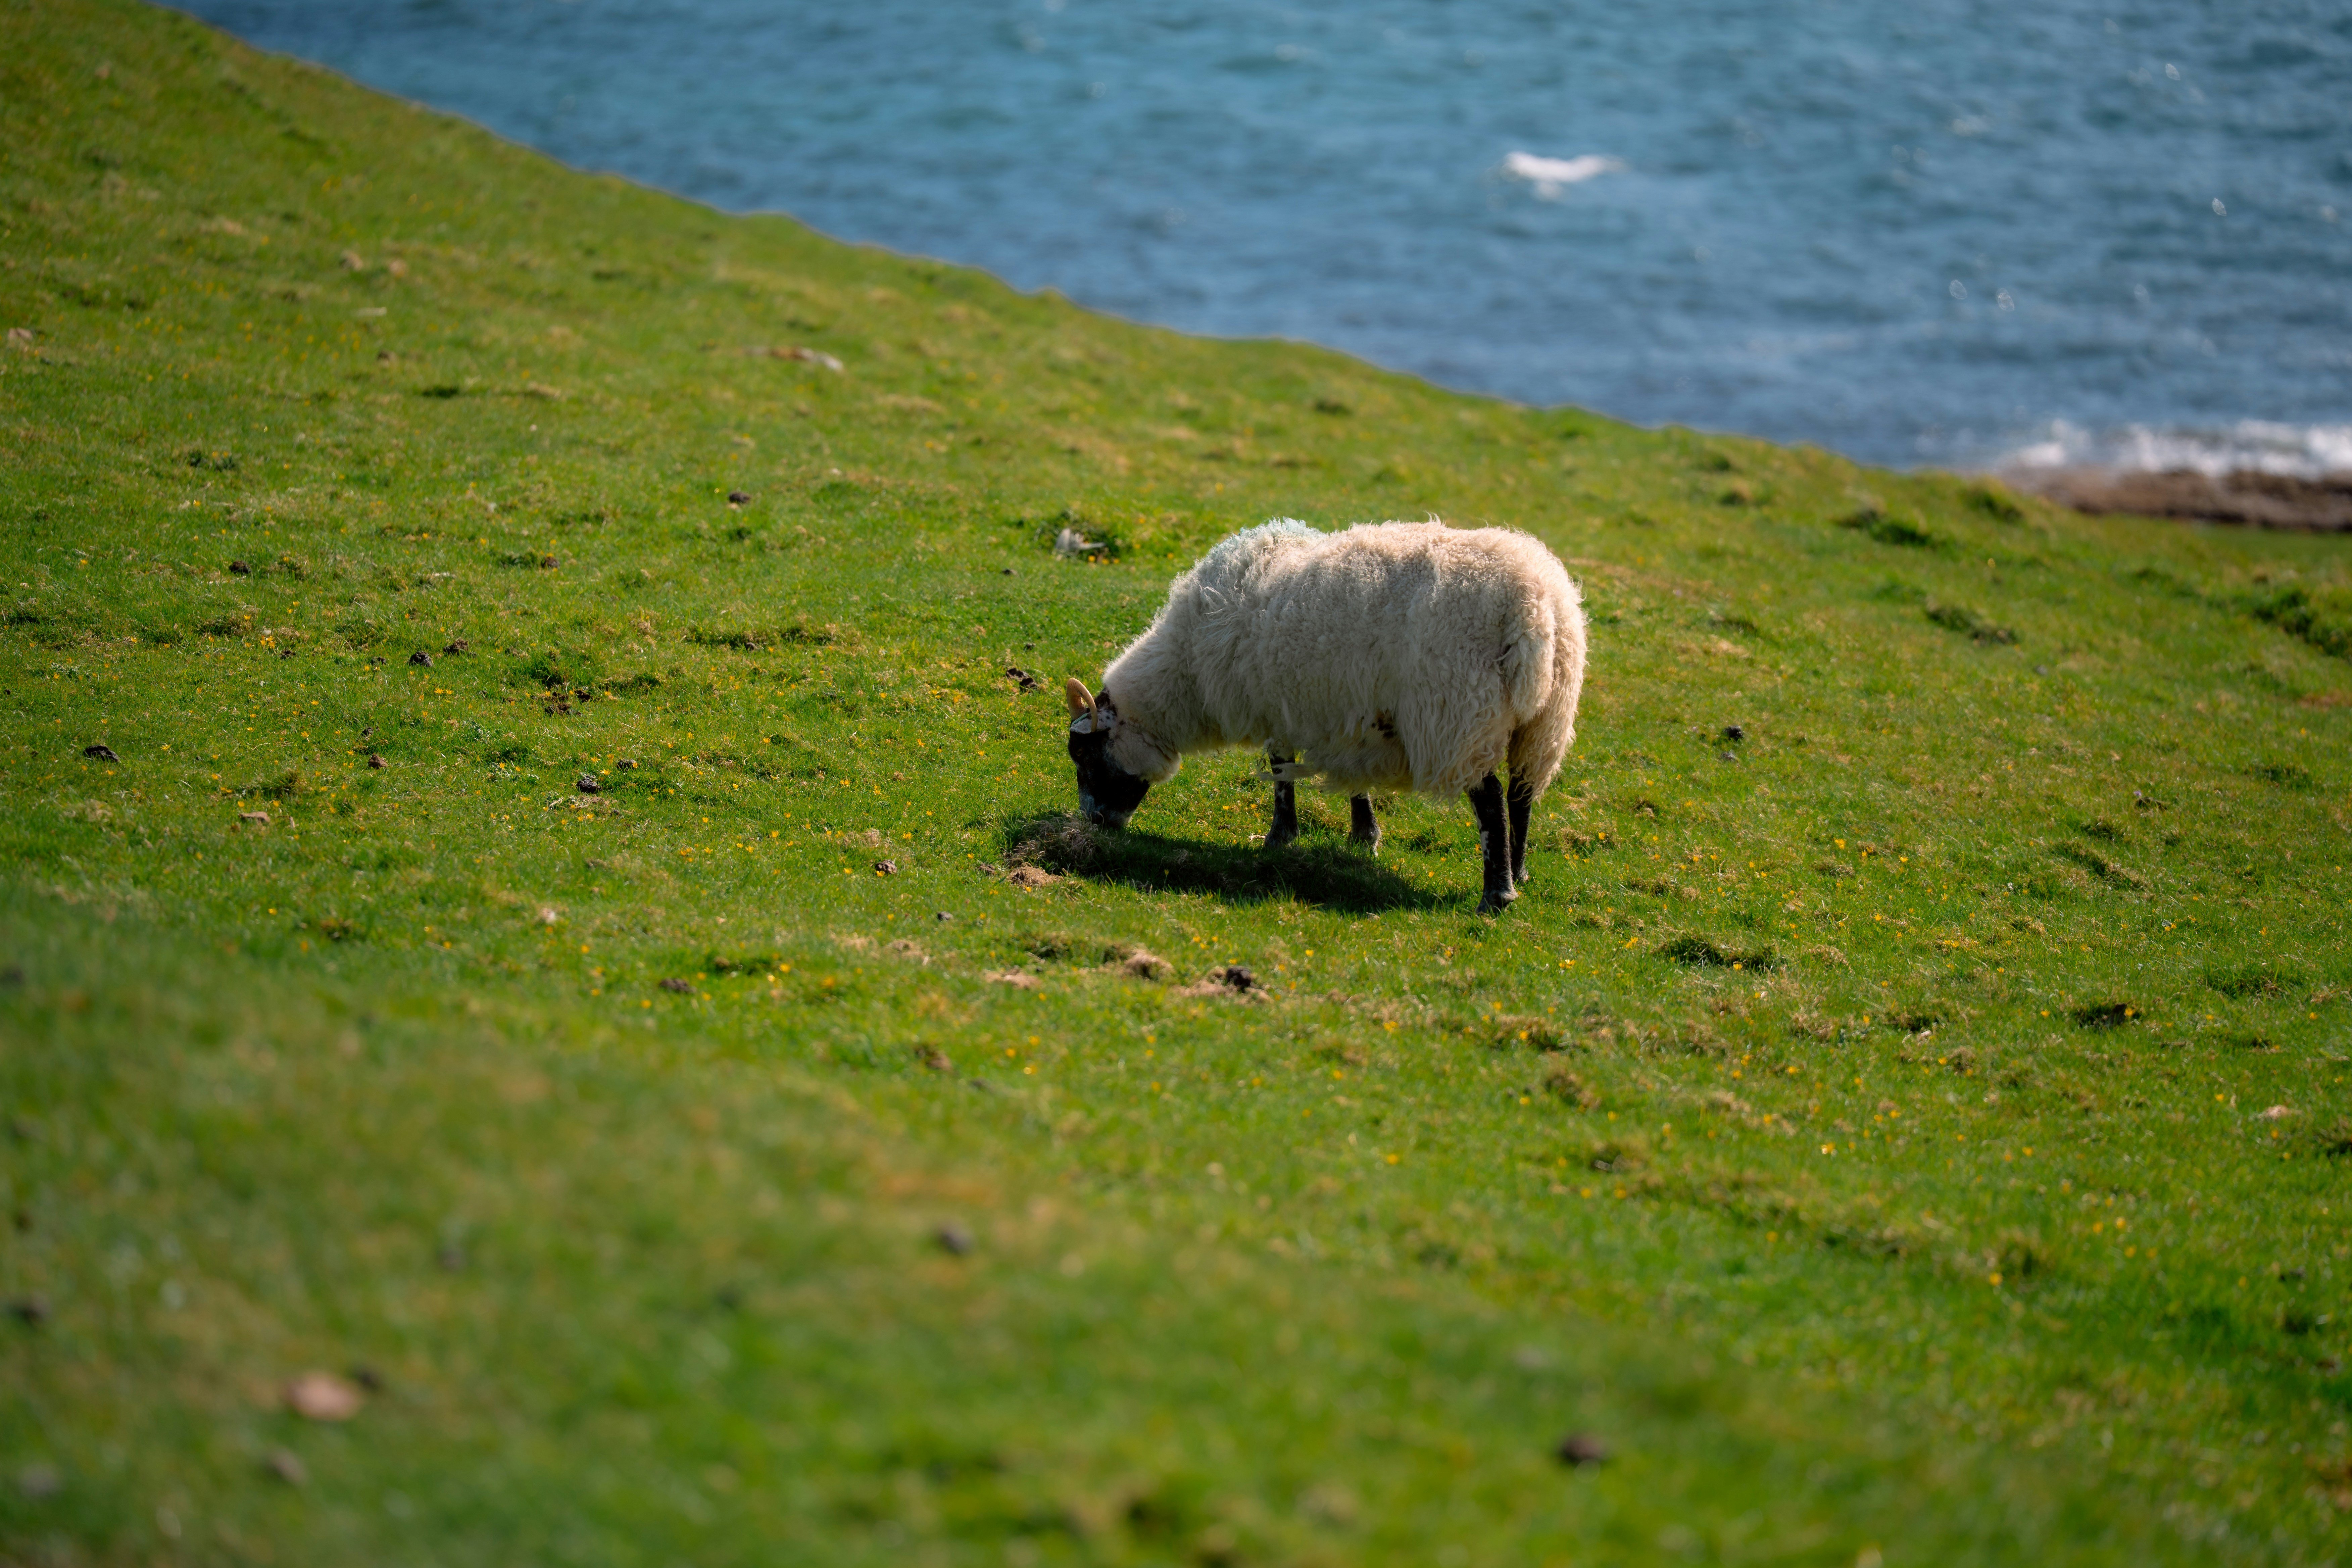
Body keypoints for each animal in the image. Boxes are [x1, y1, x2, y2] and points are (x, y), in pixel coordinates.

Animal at [1064, 518, 1587, 913]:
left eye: (1084, 756)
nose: (1095, 821)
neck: (1186, 673)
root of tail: (1534, 609)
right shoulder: (1345, 712)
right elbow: (1355, 781)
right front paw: (1363, 835)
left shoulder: (1277, 705)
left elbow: (1280, 771)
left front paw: (1280, 837)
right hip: (1546, 722)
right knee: (1522, 795)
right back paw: (1519, 870)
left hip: (1458, 716)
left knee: (1491, 799)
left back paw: (1496, 895)